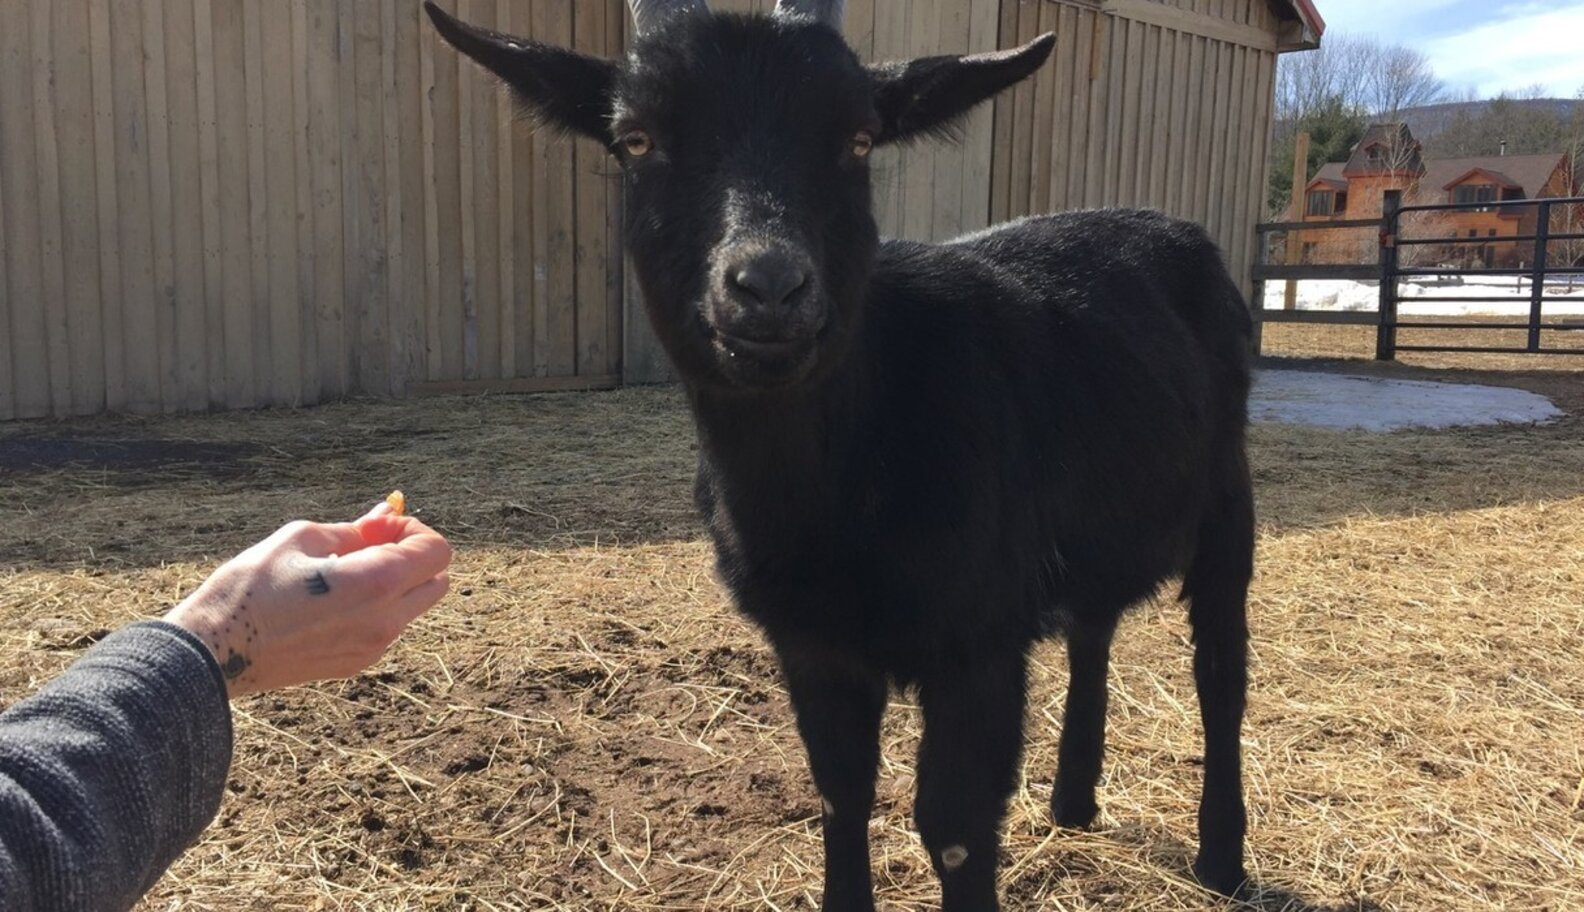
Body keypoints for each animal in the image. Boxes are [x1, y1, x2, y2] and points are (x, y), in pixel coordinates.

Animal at [427, 1, 1255, 908]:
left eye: (860, 139)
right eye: (637, 138)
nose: (767, 287)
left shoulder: (979, 642)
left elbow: (956, 829)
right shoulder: (811, 642)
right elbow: (841, 790)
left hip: (1229, 498)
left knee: (1220, 670)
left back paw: (1222, 857)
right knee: (1093, 626)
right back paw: (1073, 801)